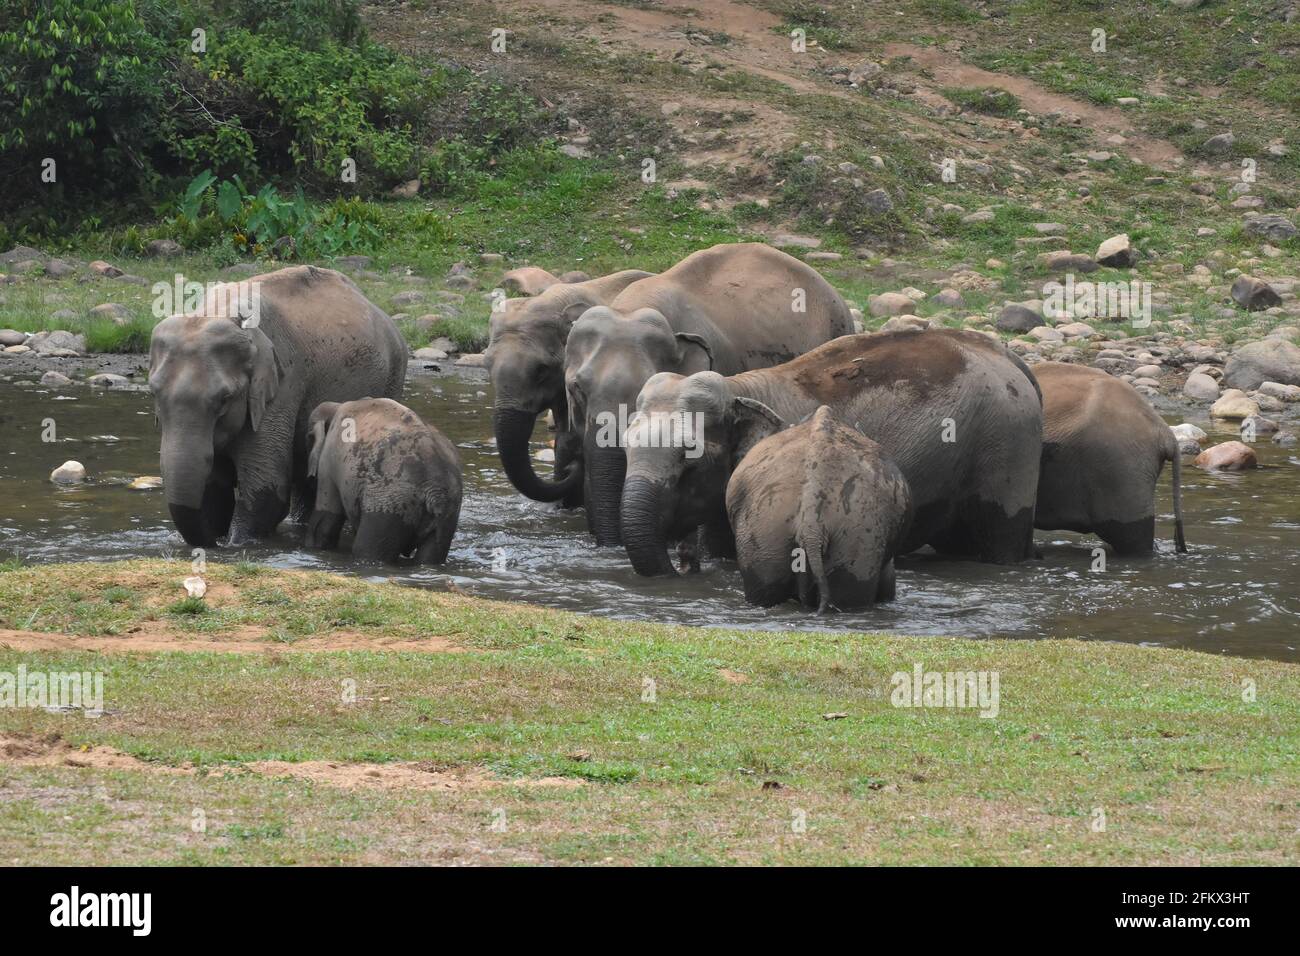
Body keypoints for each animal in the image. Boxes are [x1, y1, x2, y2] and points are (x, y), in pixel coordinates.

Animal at [147, 265, 407, 546]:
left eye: (225, 398)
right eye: (153, 392)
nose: (215, 543)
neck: (219, 311)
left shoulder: (283, 385)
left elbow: (266, 488)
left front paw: (236, 544)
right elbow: (216, 490)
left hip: (394, 376)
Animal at [303, 398, 462, 563]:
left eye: (308, 437)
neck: (336, 407)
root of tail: (434, 491)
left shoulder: (328, 462)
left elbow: (325, 521)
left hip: (390, 504)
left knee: (366, 550)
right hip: (448, 514)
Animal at [620, 327, 1043, 577]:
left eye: (689, 460)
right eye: (624, 445)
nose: (682, 565)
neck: (739, 387)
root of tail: (1014, 360)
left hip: (1007, 446)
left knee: (999, 536)